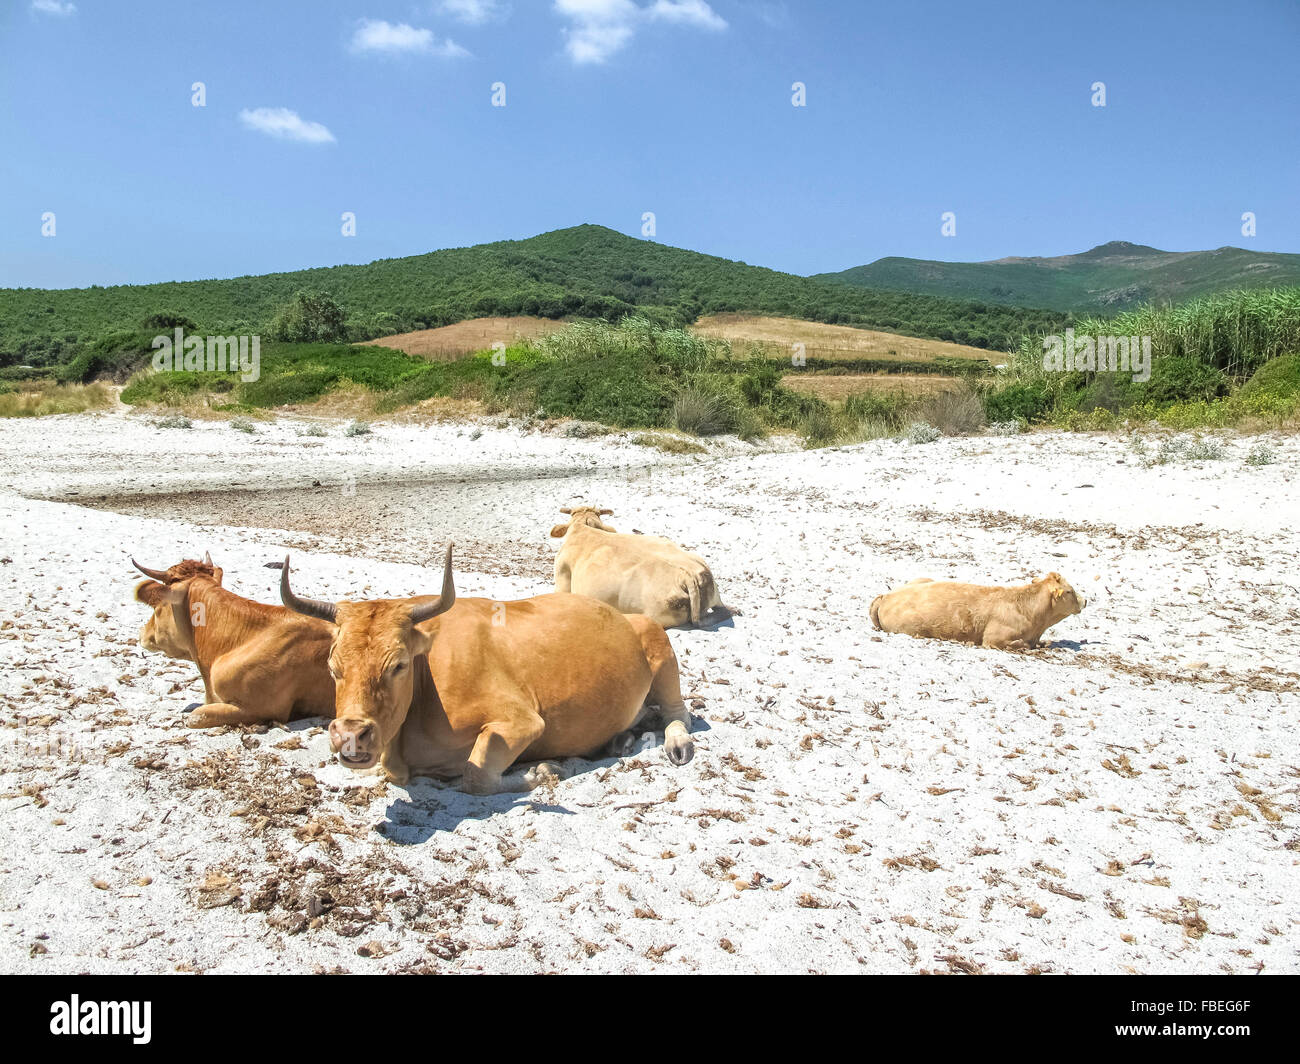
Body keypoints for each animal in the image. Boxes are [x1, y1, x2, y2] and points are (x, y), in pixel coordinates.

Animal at [278, 544, 695, 793]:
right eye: (333, 667)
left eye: (398, 665)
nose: (351, 736)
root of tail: (622, 616)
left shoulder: (522, 720)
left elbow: (475, 775)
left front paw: (542, 771)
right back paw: (618, 739)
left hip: (657, 639)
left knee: (679, 713)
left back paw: (675, 743)